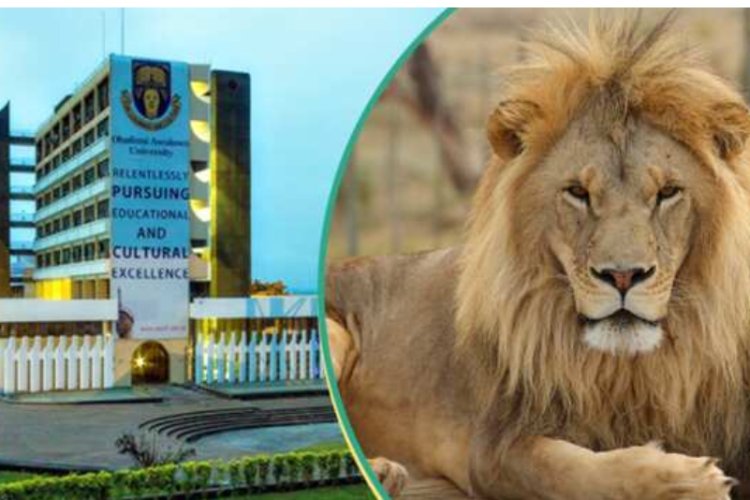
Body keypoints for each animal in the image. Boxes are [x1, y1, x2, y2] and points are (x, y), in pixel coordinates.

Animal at [325, 13, 750, 499]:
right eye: (578, 192)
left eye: (667, 193)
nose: (623, 276)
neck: (628, 370)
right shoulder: (493, 448)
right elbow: (578, 471)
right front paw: (689, 480)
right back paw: (383, 470)